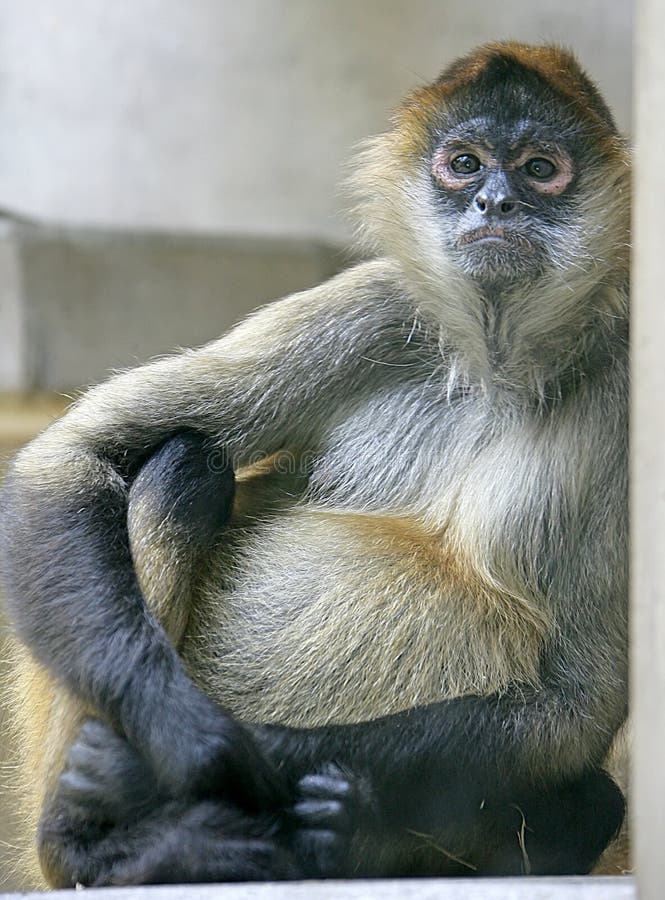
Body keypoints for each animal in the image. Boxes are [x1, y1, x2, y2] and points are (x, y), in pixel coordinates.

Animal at [0, 41, 630, 886]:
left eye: (539, 169)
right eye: (463, 163)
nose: (494, 203)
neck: (492, 366)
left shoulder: (625, 380)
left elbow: (575, 706)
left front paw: (202, 767)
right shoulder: (377, 307)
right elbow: (71, 457)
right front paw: (196, 745)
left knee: (593, 797)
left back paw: (334, 833)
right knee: (182, 465)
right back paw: (103, 848)